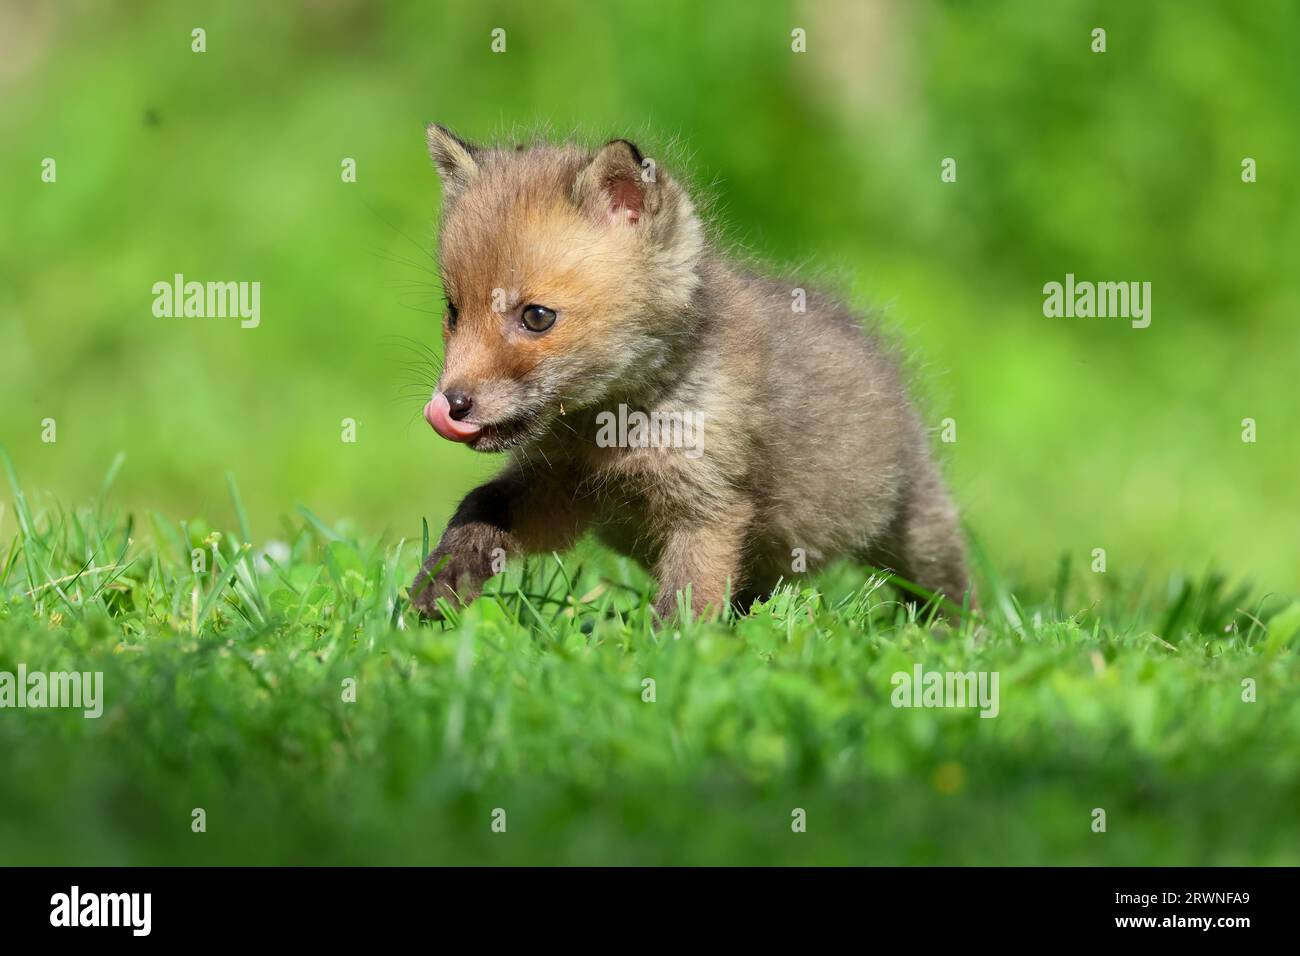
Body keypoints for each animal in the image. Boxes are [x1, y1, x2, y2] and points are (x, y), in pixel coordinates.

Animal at [409, 125, 972, 621]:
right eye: (454, 312)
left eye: (537, 317)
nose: (451, 404)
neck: (611, 435)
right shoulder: (558, 489)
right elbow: (482, 504)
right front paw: (441, 581)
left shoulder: (710, 510)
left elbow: (684, 602)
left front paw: (666, 660)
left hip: (912, 526)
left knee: (946, 581)